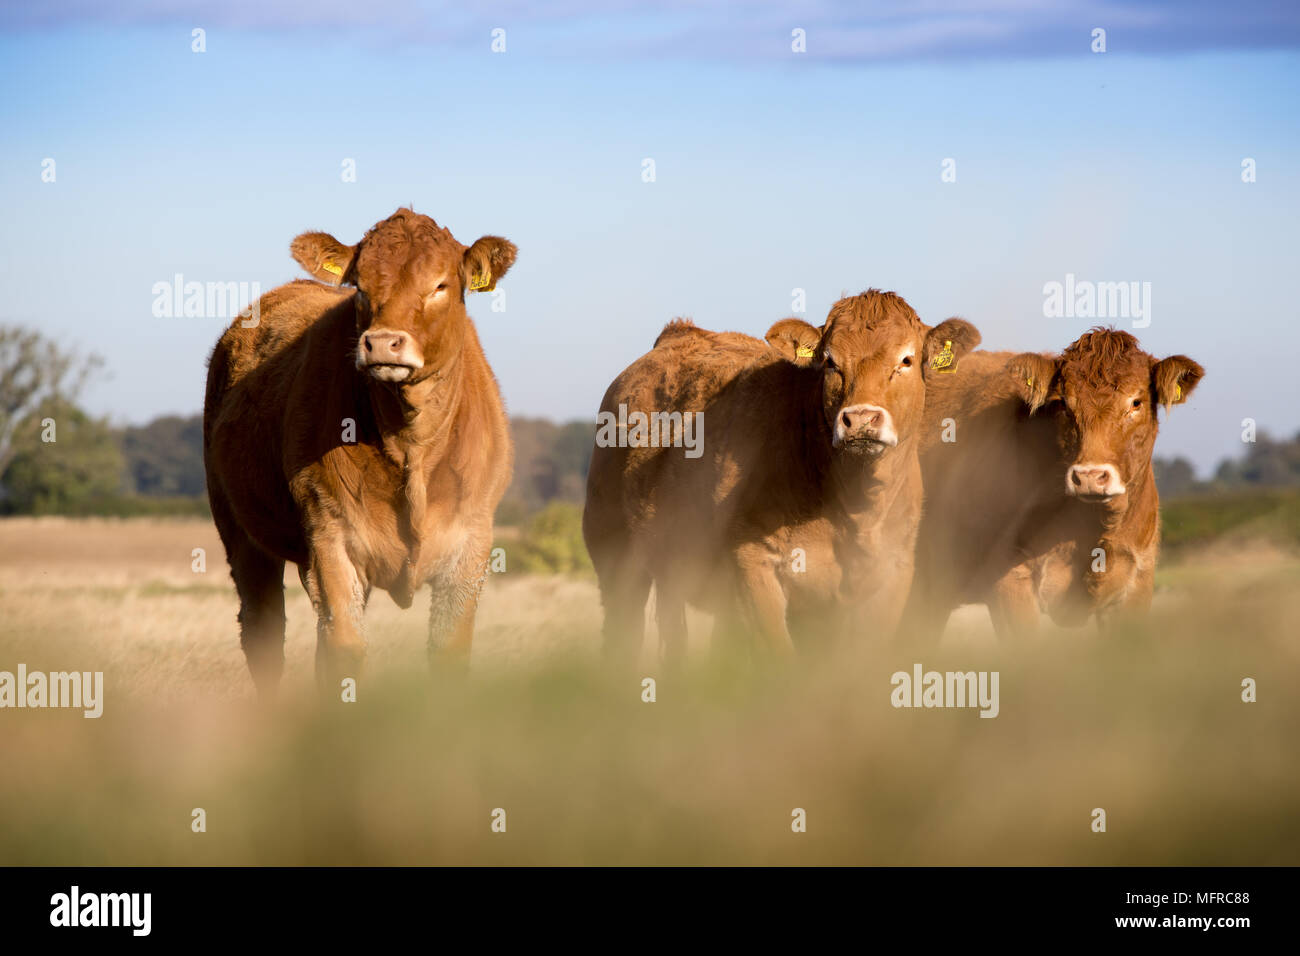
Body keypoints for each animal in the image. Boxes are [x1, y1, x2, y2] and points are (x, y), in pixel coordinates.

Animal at [203, 208, 517, 693]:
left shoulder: (471, 544)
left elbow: (446, 653)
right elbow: (345, 652)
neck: (411, 444)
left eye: (441, 285)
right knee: (264, 630)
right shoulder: (330, 536)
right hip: (239, 531)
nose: (383, 342)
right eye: (361, 287)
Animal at [582, 290, 980, 665]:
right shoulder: (755, 564)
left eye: (906, 360)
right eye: (830, 362)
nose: (860, 420)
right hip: (615, 558)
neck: (855, 509)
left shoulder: (891, 574)